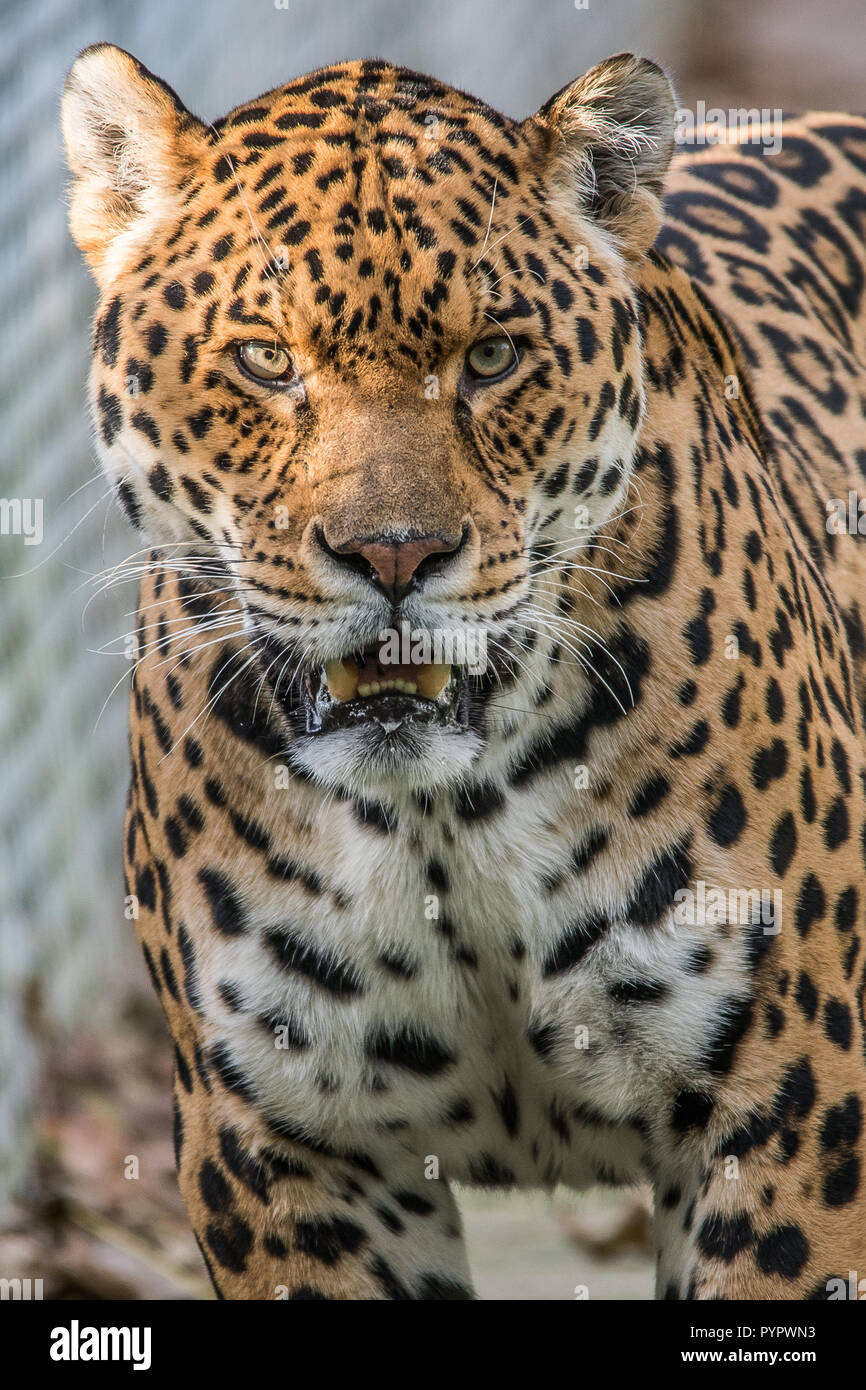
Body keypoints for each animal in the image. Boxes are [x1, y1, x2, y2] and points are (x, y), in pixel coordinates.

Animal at [61, 43, 866, 1300]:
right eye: (265, 360)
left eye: (491, 358)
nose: (394, 553)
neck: (442, 813)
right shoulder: (281, 1146)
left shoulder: (789, 1100)